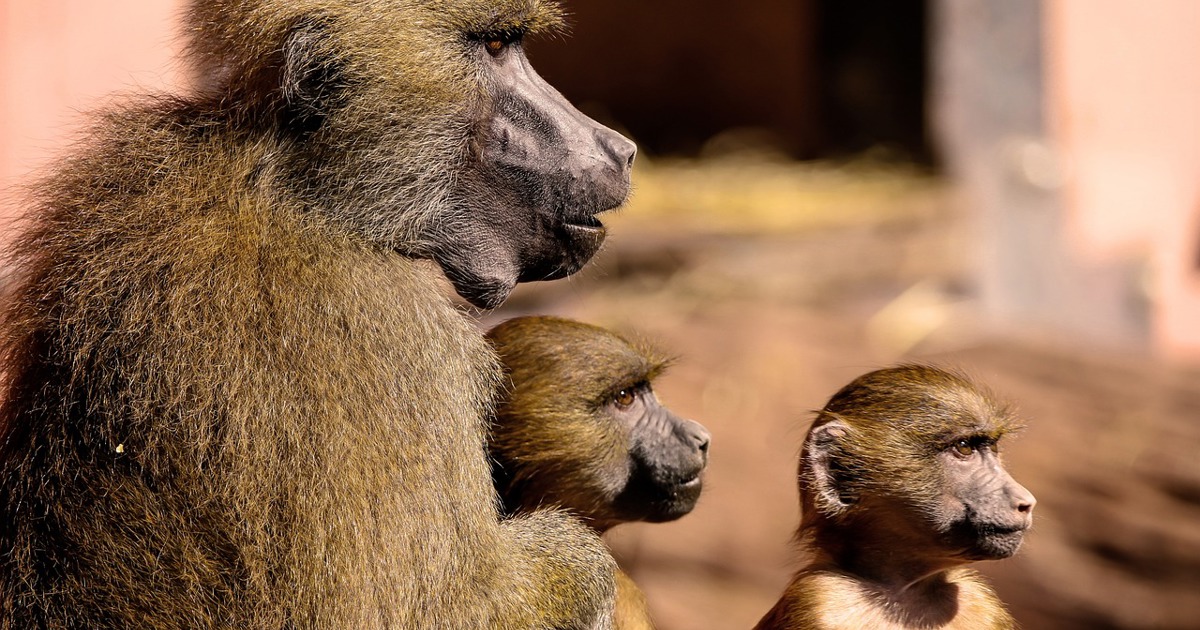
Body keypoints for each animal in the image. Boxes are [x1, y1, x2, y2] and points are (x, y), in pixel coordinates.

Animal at [754, 365, 1036, 630]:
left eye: (993, 447)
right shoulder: (821, 599)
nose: (1026, 503)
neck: (906, 591)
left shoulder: (981, 604)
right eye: (964, 447)